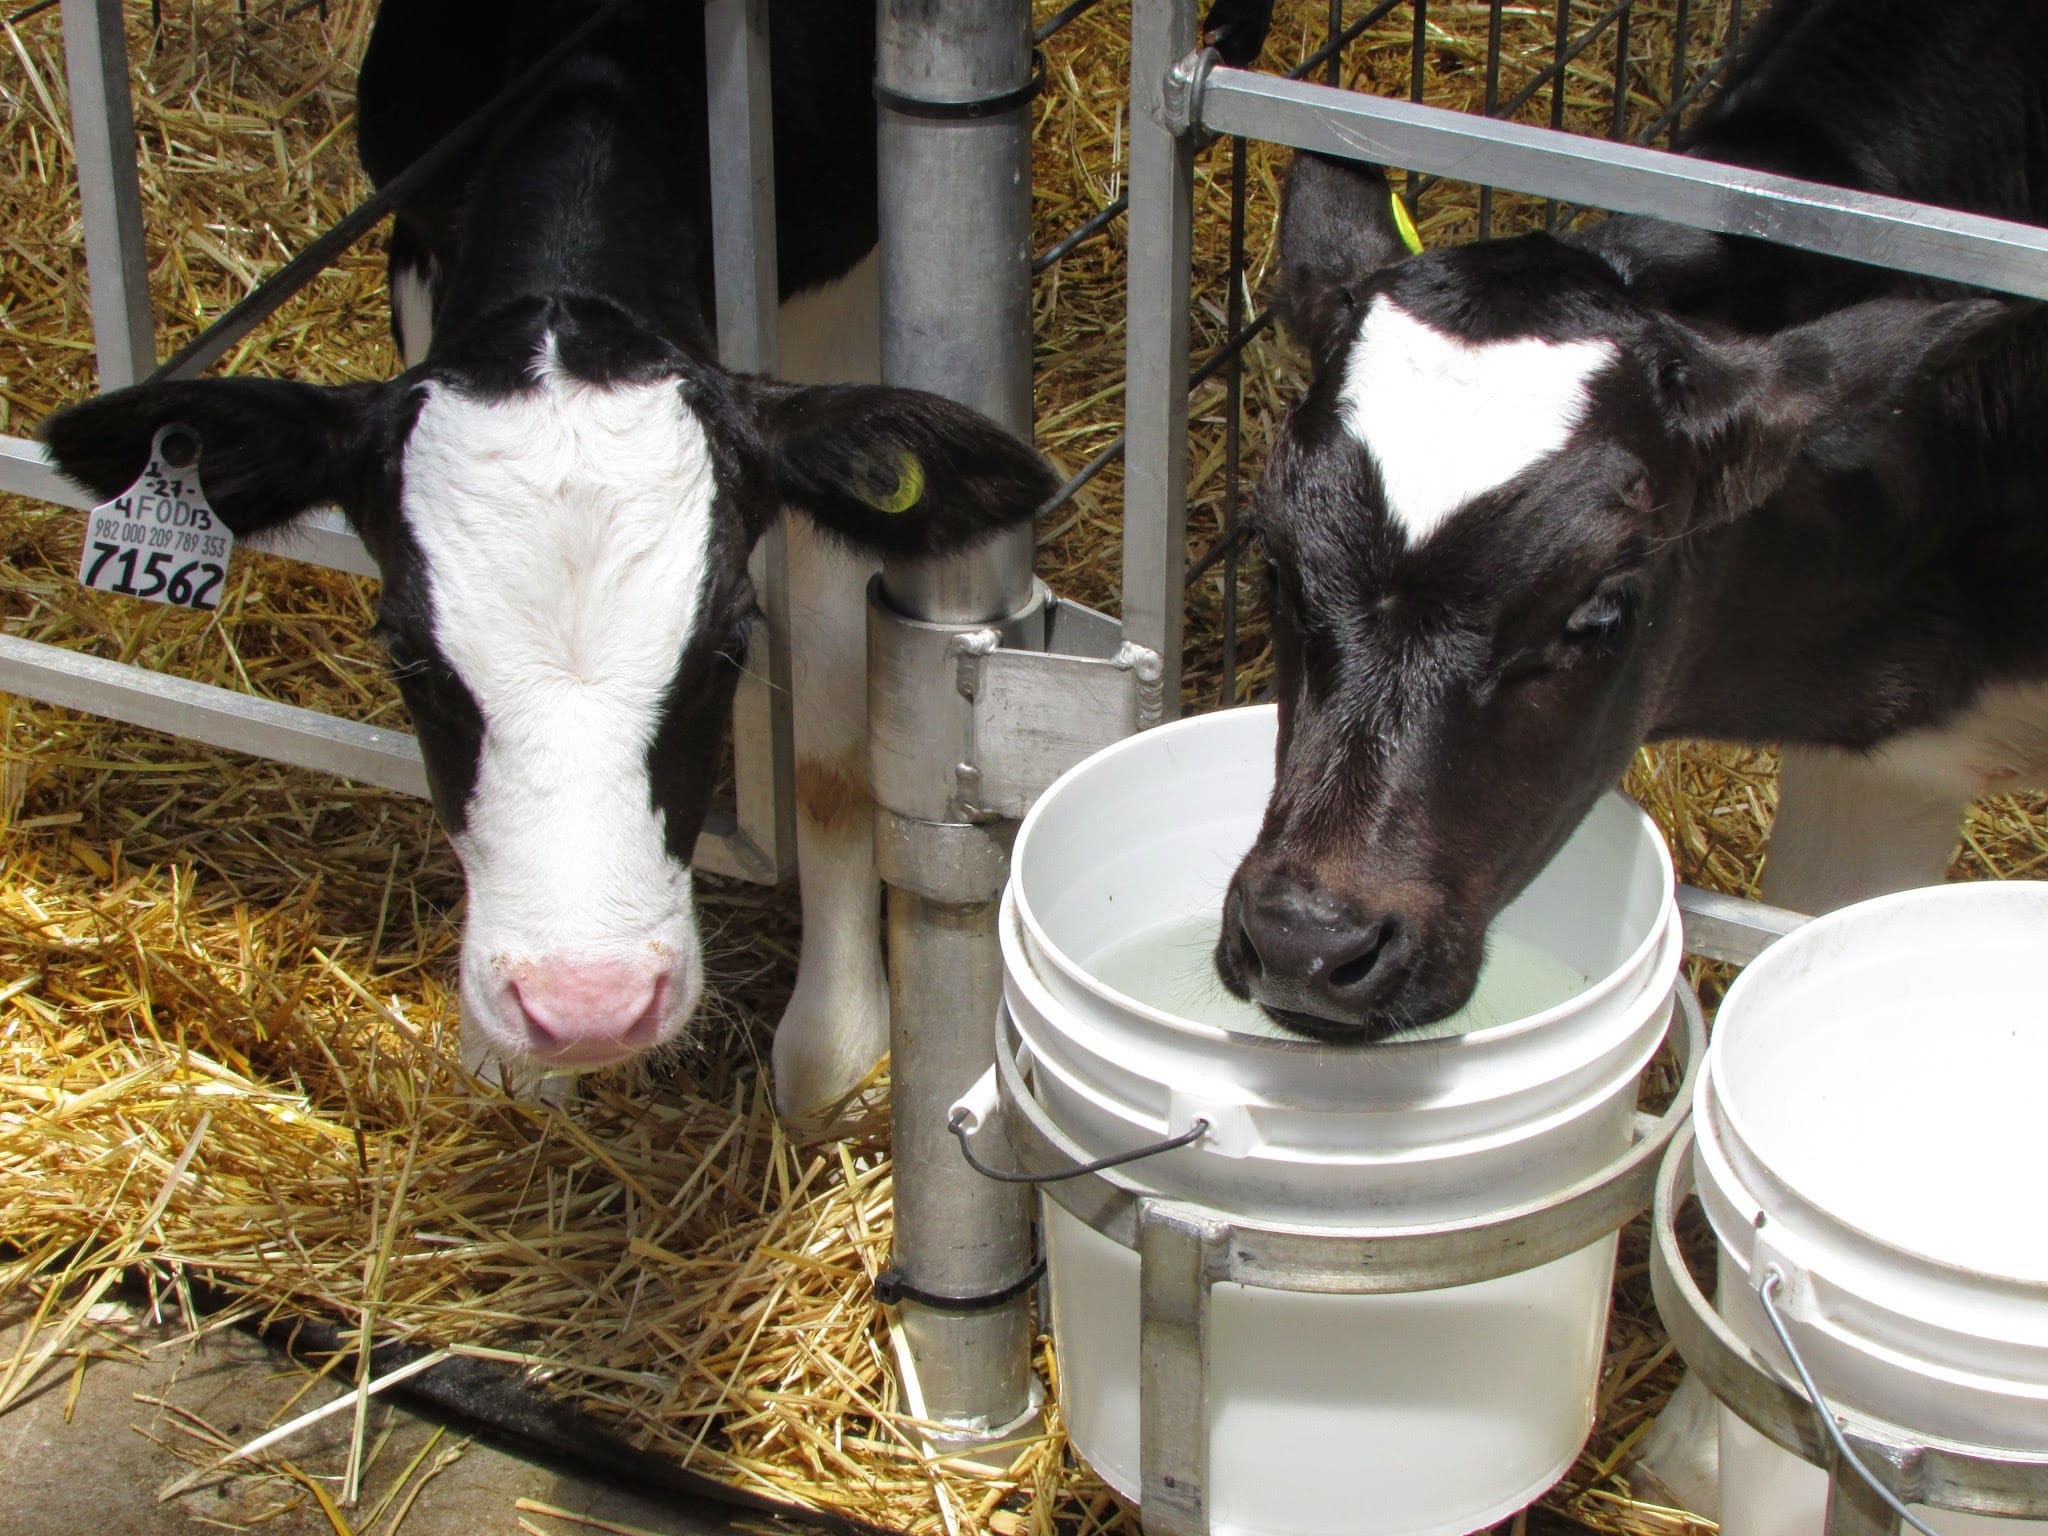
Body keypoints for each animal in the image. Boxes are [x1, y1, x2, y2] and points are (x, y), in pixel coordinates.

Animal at [37, 0, 1053, 1122]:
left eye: (727, 649)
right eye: (406, 656)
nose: (588, 1005)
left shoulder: (839, 290)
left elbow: (831, 742)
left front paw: (837, 1046)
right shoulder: (421, 234)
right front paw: (508, 1056)